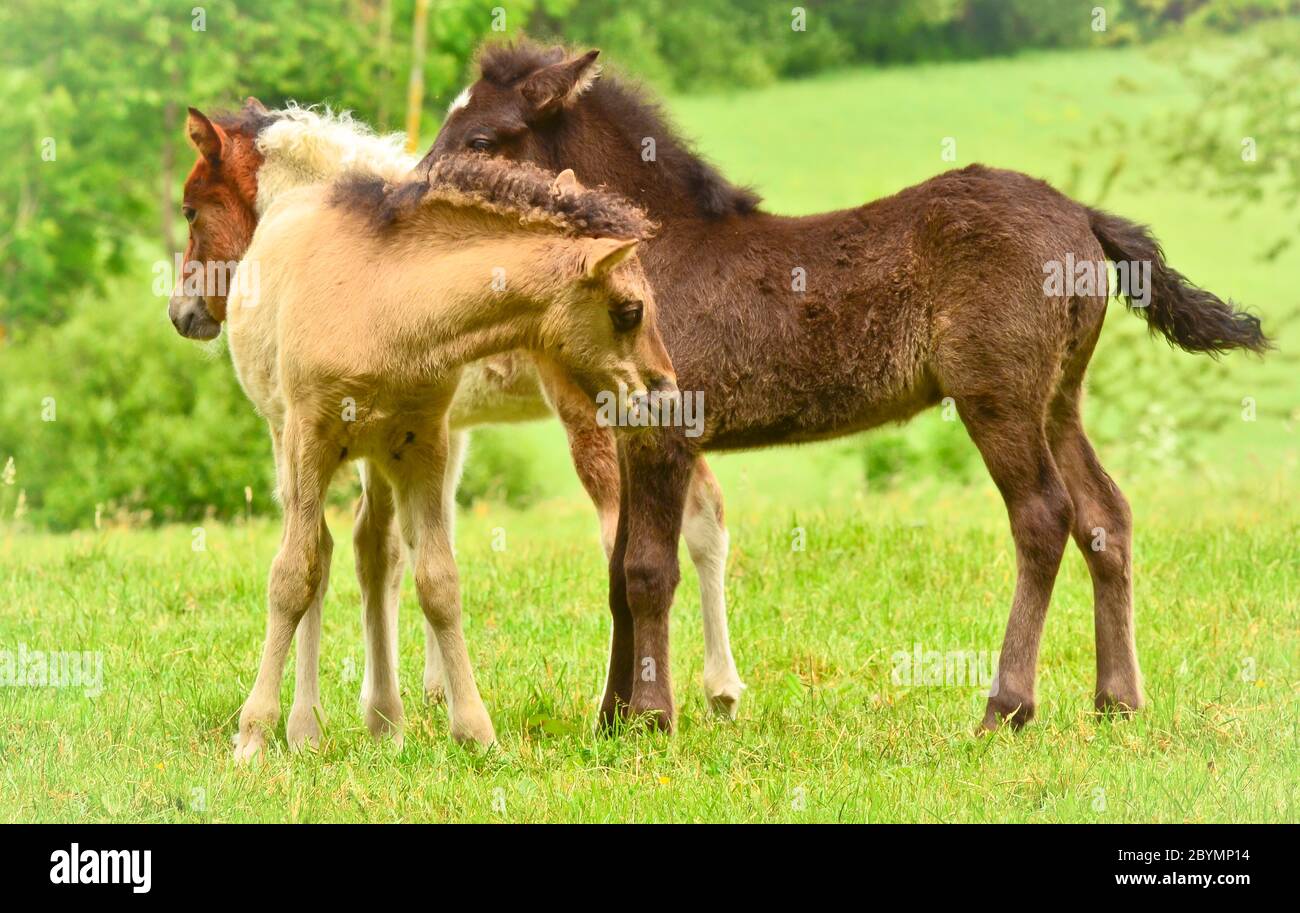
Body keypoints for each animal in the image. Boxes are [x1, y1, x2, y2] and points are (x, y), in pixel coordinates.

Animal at [169, 99, 746, 718]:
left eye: (191, 210)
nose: (182, 313)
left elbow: (367, 547)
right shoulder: (435, 431)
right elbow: (412, 540)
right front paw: (430, 690)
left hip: (594, 422)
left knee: (626, 537)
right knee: (705, 515)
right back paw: (721, 688)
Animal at [427, 41, 1270, 733]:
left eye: (481, 141)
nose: (414, 199)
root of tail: (1083, 217)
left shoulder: (668, 427)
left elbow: (647, 571)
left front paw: (654, 719)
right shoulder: (629, 432)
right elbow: (616, 570)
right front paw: (610, 717)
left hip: (997, 395)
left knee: (1043, 515)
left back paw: (1005, 706)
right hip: (1057, 397)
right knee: (1104, 514)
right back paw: (1117, 700)